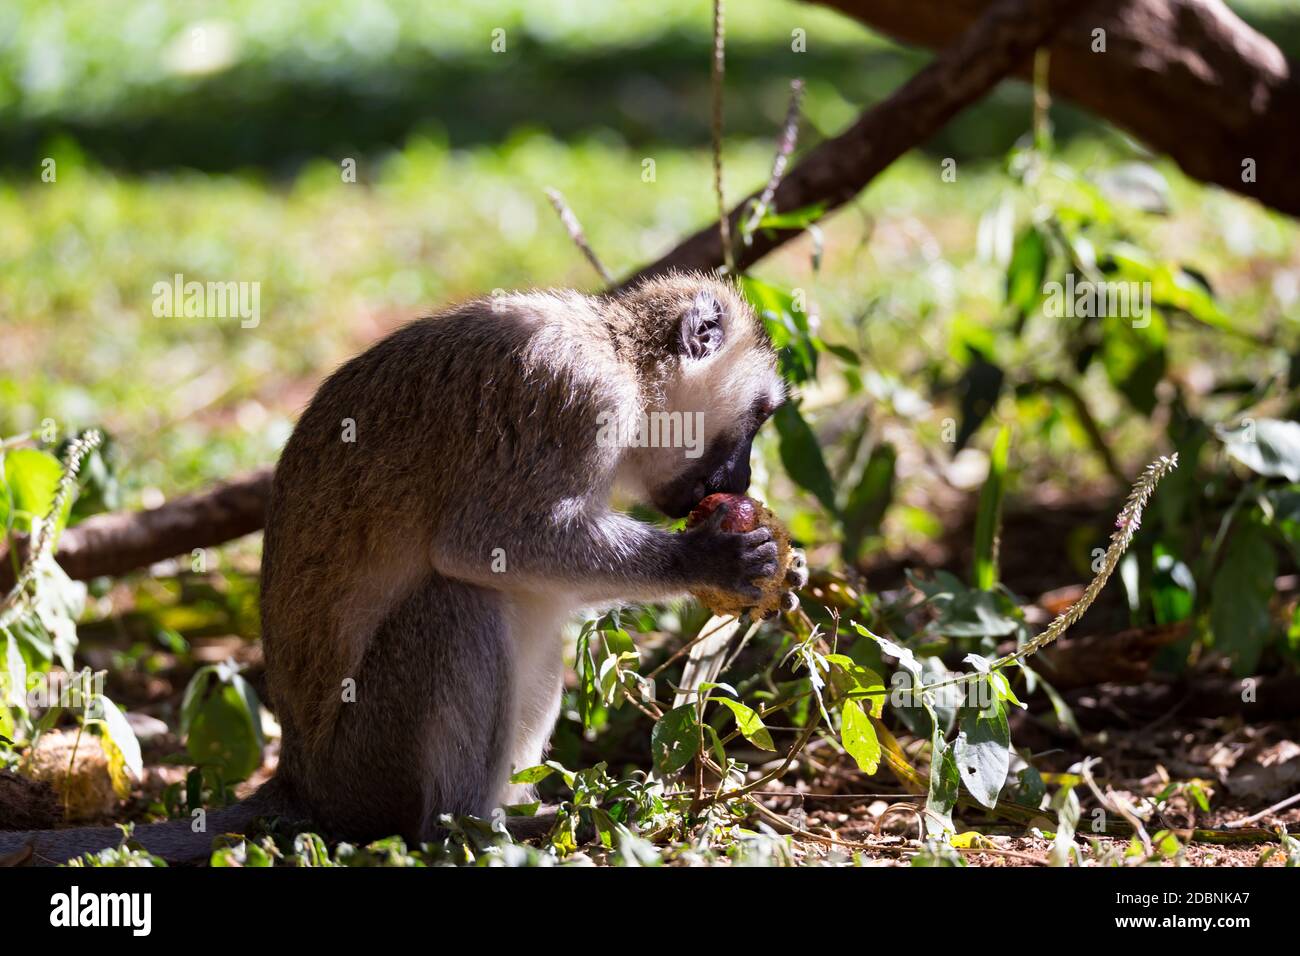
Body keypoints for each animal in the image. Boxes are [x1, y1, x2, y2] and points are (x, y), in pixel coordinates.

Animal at [0, 272, 806, 865]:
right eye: (759, 419)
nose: (746, 474)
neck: (622, 361)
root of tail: (300, 778)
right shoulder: (572, 394)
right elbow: (483, 543)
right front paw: (712, 558)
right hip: (369, 760)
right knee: (460, 604)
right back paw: (467, 831)